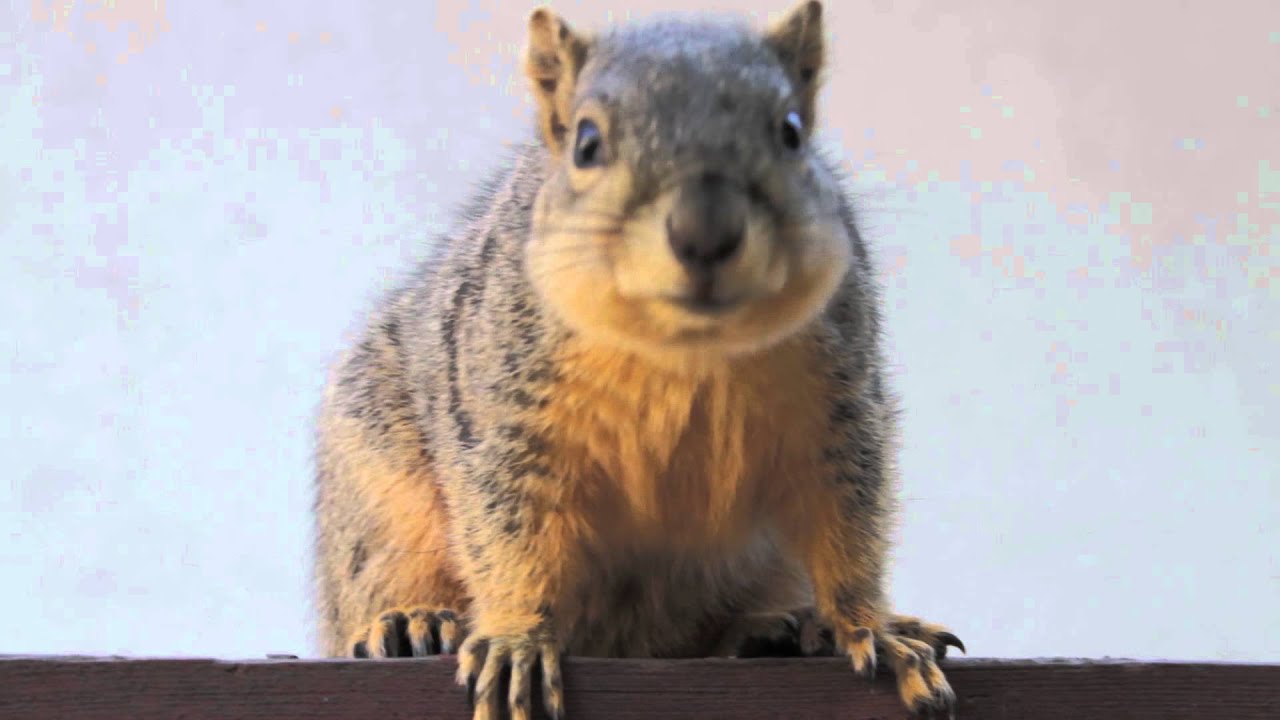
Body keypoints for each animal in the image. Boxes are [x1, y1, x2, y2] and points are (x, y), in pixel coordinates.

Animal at [312, 2, 964, 718]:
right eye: (586, 143)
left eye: (793, 133)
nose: (705, 231)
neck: (683, 347)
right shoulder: (505, 419)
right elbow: (508, 534)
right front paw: (516, 640)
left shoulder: (839, 410)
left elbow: (849, 526)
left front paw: (871, 626)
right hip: (379, 498)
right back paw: (413, 620)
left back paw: (779, 628)